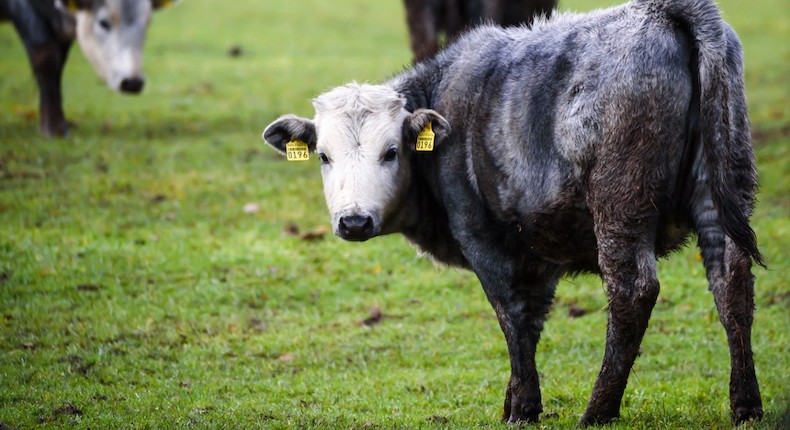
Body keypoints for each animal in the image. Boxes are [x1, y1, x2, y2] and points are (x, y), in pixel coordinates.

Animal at [0, 0, 176, 137]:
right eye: (104, 22)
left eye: (148, 22)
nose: (132, 83)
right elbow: (46, 58)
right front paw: (54, 129)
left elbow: (58, 65)